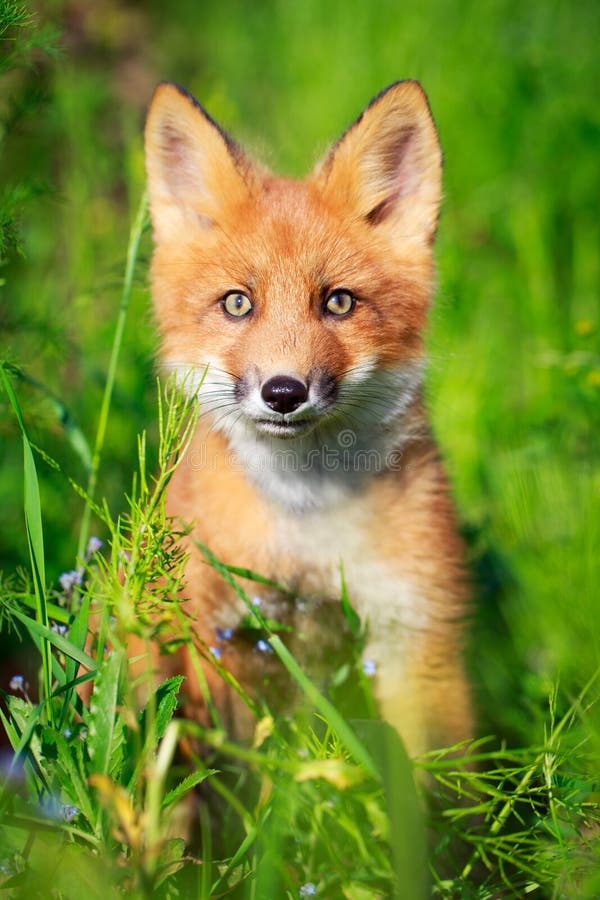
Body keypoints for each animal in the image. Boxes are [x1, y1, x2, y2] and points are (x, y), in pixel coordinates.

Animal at [144, 80, 473, 758]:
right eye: (237, 304)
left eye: (339, 302)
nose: (284, 392)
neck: (307, 523)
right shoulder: (226, 635)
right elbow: (252, 775)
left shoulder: (416, 631)